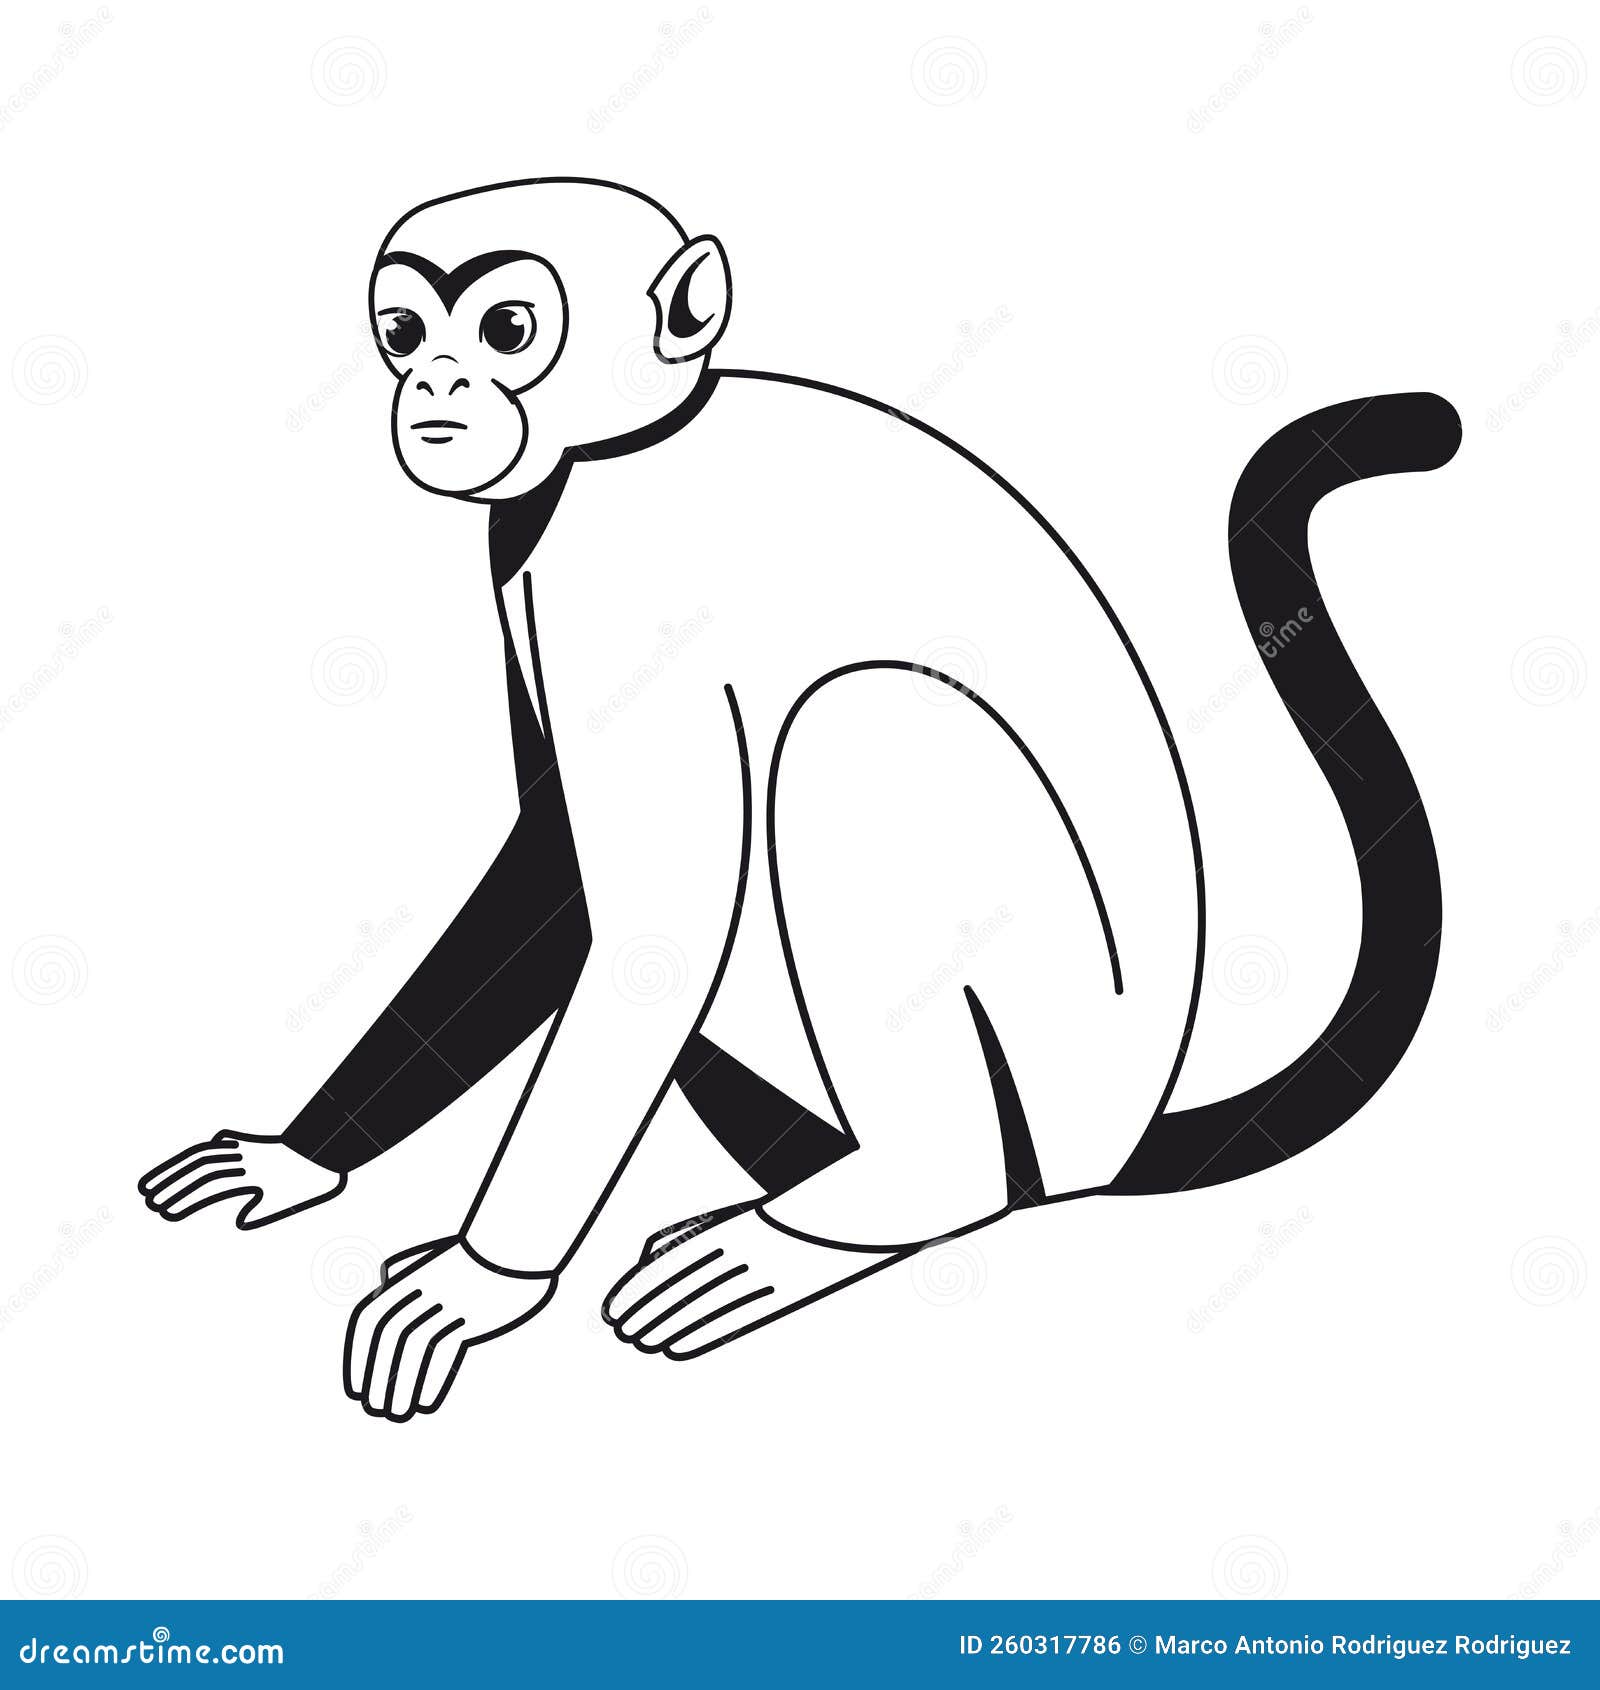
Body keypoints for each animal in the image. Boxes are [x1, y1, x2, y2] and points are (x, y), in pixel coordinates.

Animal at [137, 178, 1461, 1419]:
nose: (435, 386)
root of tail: (1120, 1126)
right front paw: (301, 1158)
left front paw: (481, 1280)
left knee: (853, 729)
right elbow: (557, 878)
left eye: (508, 327)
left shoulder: (620, 578)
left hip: (1055, 1045)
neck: (623, 449)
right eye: (405, 330)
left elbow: (651, 927)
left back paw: (890, 1197)